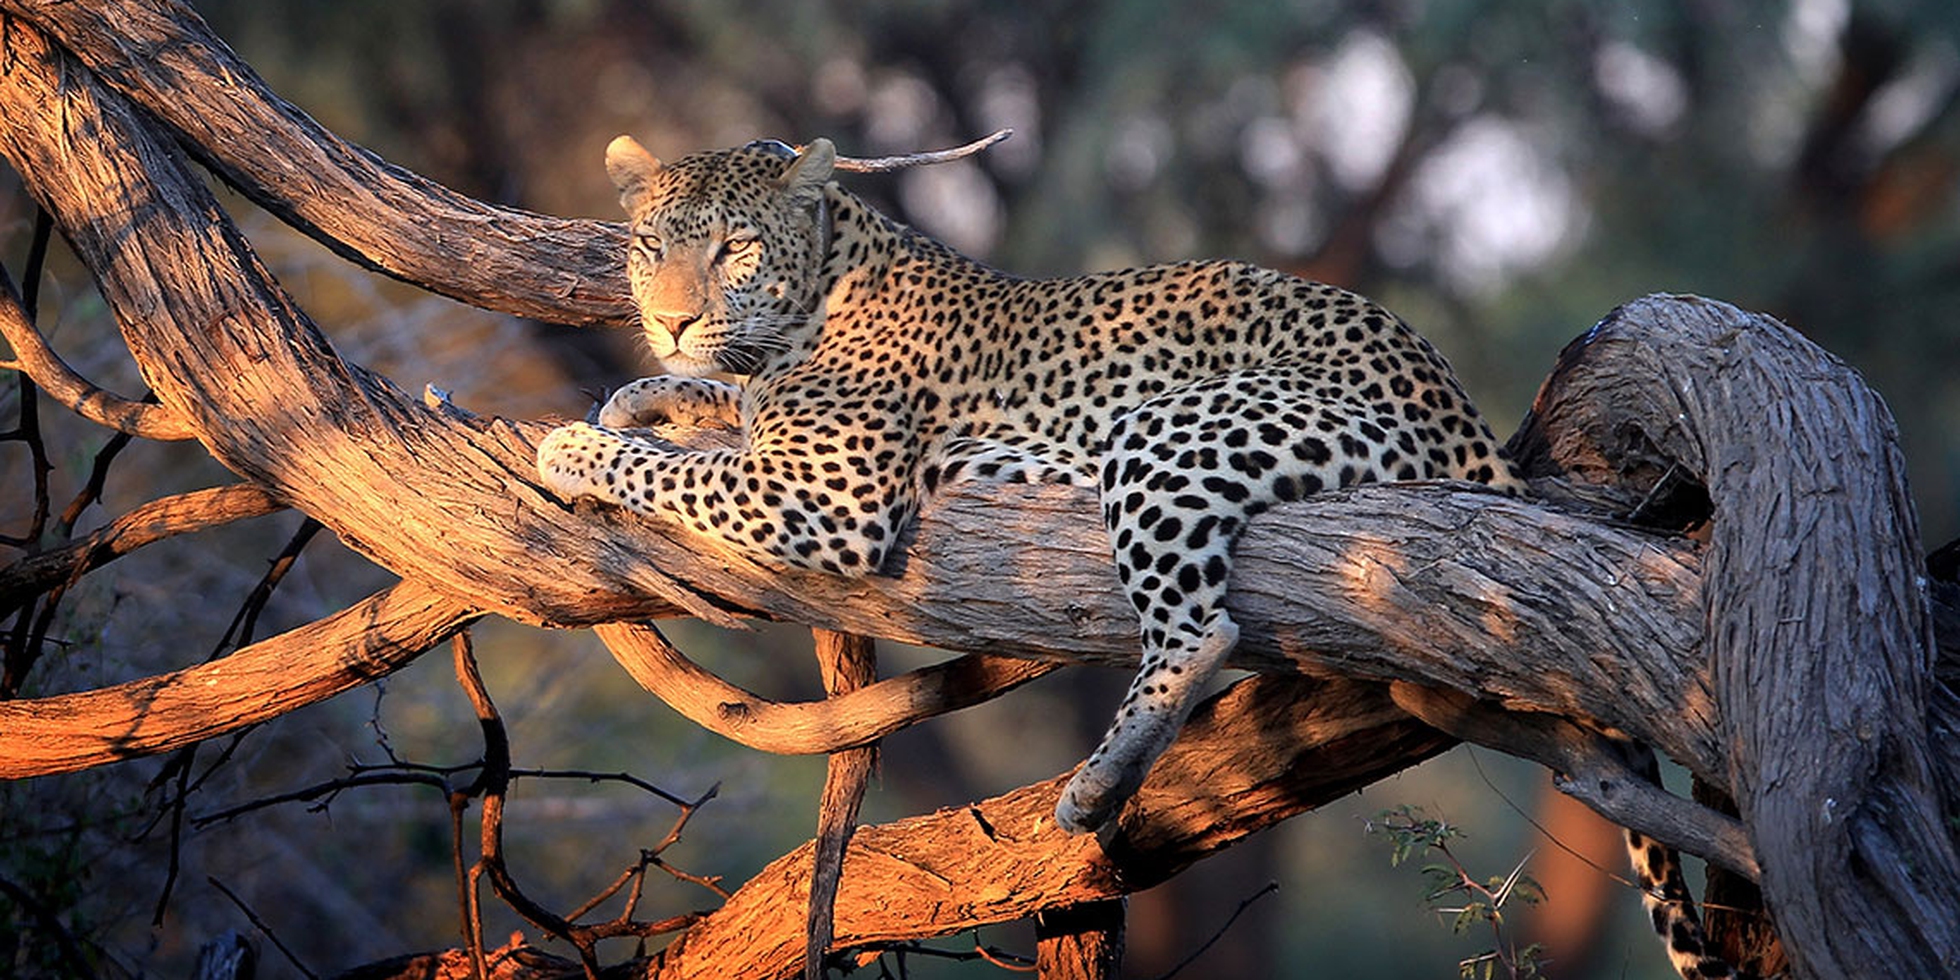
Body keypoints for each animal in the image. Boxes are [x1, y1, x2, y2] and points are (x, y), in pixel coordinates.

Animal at [536, 135, 1744, 980]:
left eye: (732, 248)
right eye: (651, 248)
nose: (670, 317)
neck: (818, 287)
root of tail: (1464, 420)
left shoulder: (825, 493)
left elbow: (675, 470)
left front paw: (575, 444)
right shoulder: (768, 431)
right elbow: (710, 414)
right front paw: (644, 390)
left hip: (1171, 431)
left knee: (1199, 628)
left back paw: (1094, 786)